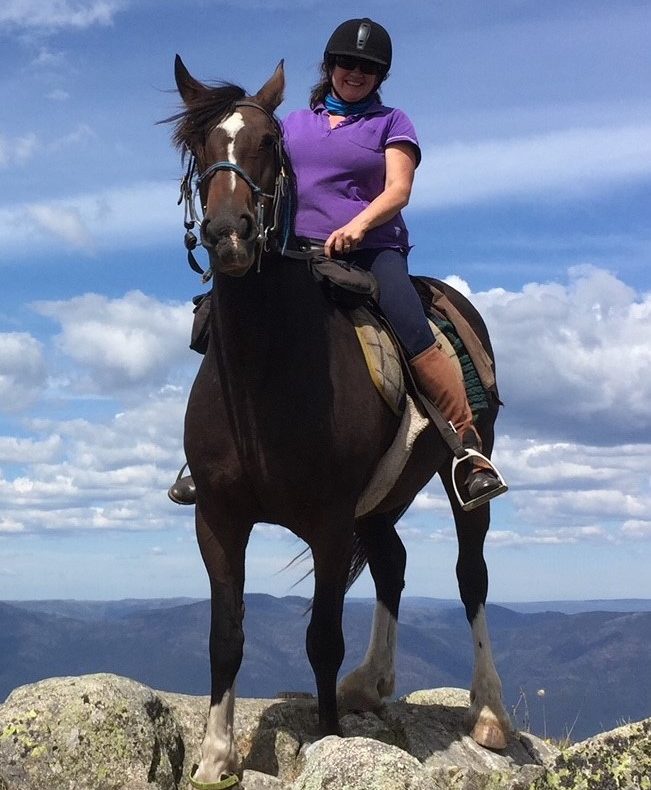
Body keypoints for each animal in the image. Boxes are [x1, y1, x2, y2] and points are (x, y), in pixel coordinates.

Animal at [168, 56, 511, 787]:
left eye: (271, 143)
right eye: (198, 146)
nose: (230, 233)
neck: (265, 374)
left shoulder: (327, 522)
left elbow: (321, 637)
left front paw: (327, 739)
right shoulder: (216, 518)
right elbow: (225, 637)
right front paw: (215, 758)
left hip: (461, 479)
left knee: (471, 576)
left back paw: (490, 714)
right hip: (379, 500)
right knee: (392, 564)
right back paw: (369, 684)